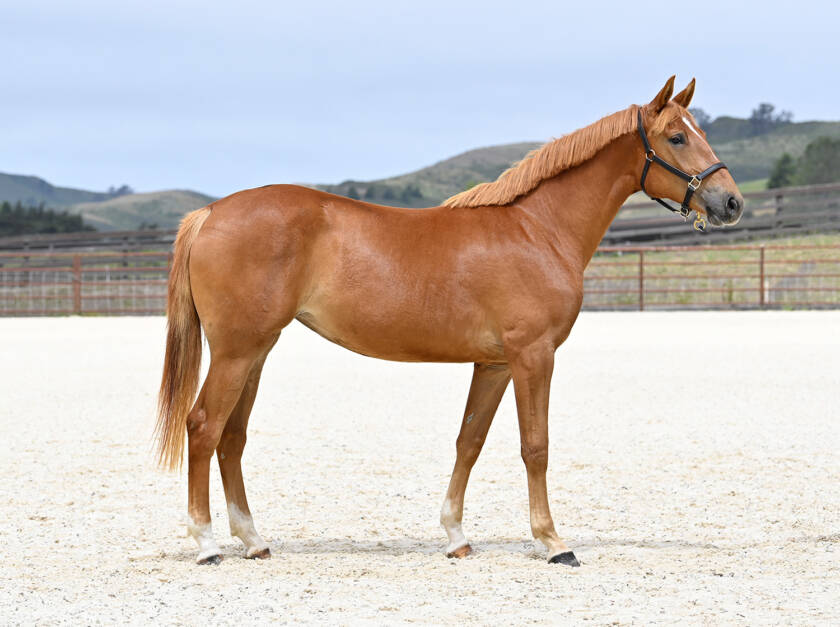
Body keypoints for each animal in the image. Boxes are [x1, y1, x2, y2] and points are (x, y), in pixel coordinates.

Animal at [155, 76, 743, 566]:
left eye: (700, 132)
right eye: (677, 137)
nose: (732, 203)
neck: (538, 229)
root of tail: (211, 213)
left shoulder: (495, 364)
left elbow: (469, 441)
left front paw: (456, 537)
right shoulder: (533, 356)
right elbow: (535, 446)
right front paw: (553, 542)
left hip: (256, 350)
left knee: (231, 437)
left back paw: (254, 541)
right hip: (236, 351)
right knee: (202, 426)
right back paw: (206, 544)